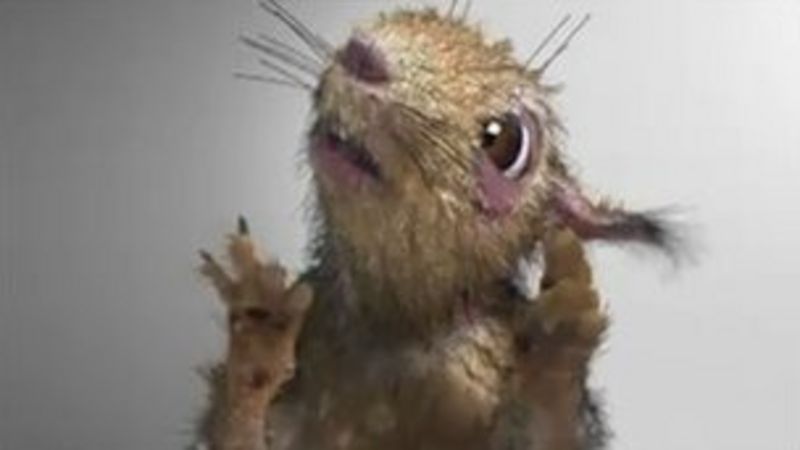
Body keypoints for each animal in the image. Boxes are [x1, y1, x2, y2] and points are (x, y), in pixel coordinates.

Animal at [193, 2, 683, 449]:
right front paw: (258, 328)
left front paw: (557, 350)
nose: (361, 55)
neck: (399, 325)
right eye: (409, 16)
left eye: (505, 140)